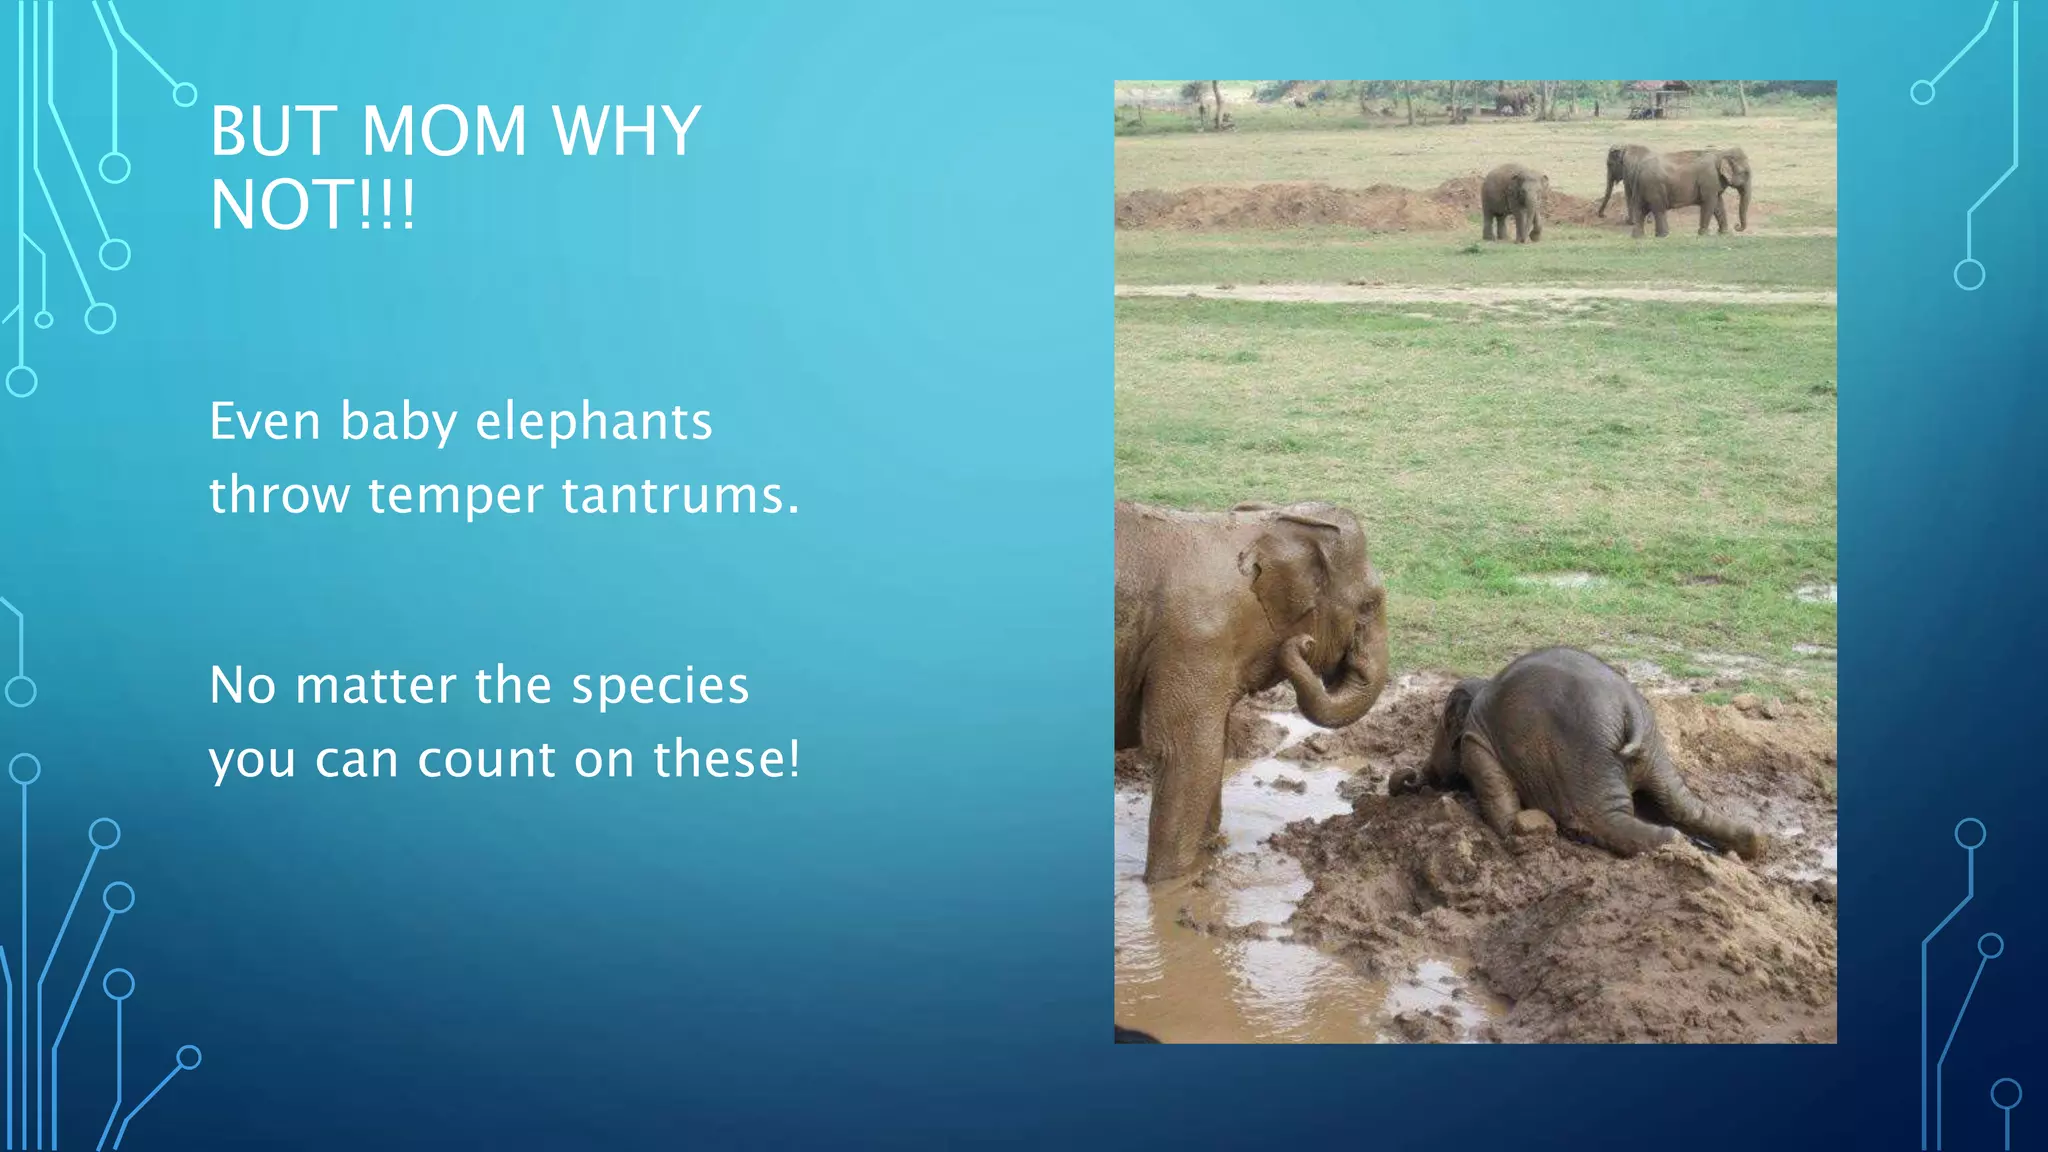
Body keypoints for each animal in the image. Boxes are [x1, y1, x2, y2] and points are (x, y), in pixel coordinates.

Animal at [1115, 499, 1390, 882]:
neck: (1261, 527)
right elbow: (1186, 755)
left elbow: (1214, 749)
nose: (1304, 643)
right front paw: (1169, 886)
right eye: (1368, 604)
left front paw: (1209, 857)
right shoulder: (1194, 642)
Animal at [1390, 647, 1767, 860]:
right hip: (1653, 751)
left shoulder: (1477, 743)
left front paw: (1518, 831)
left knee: (1600, 818)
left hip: (1585, 757)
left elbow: (1499, 803)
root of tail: (1630, 710)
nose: (1407, 777)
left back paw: (1673, 846)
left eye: (1441, 728)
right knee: (1681, 805)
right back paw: (1744, 847)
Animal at [1618, 145, 1754, 238]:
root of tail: (1639, 168)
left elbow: (1718, 204)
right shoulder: (1709, 180)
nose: (1737, 226)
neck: (1721, 153)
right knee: (1658, 209)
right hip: (1654, 187)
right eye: (1745, 173)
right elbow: (1709, 203)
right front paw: (1703, 234)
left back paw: (1638, 237)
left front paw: (1724, 233)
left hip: (1640, 188)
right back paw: (1664, 235)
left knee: (1640, 209)